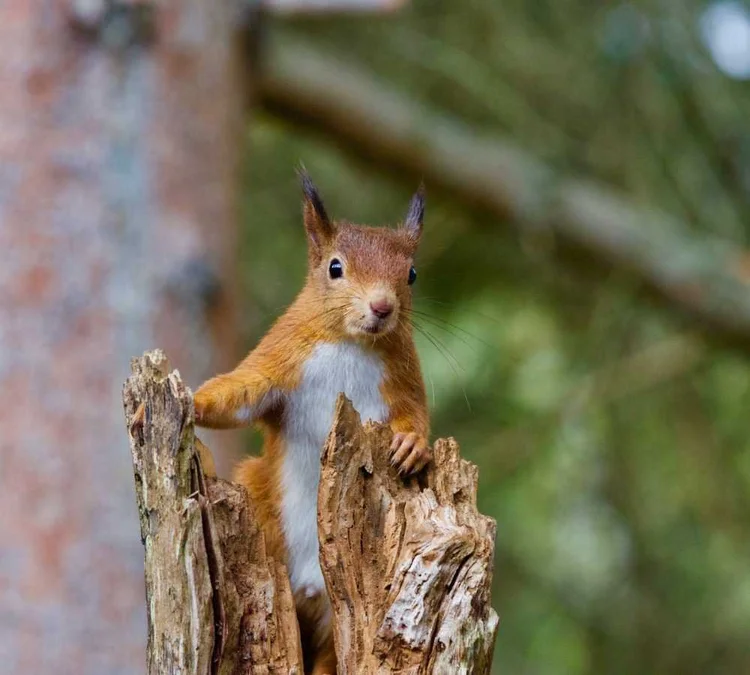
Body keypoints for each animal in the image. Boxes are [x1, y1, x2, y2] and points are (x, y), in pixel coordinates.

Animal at [192, 170, 431, 675]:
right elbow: (240, 394)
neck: (350, 342)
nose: (382, 307)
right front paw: (193, 400)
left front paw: (413, 446)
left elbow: (416, 415)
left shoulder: (403, 381)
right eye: (335, 268)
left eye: (411, 274)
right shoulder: (279, 360)